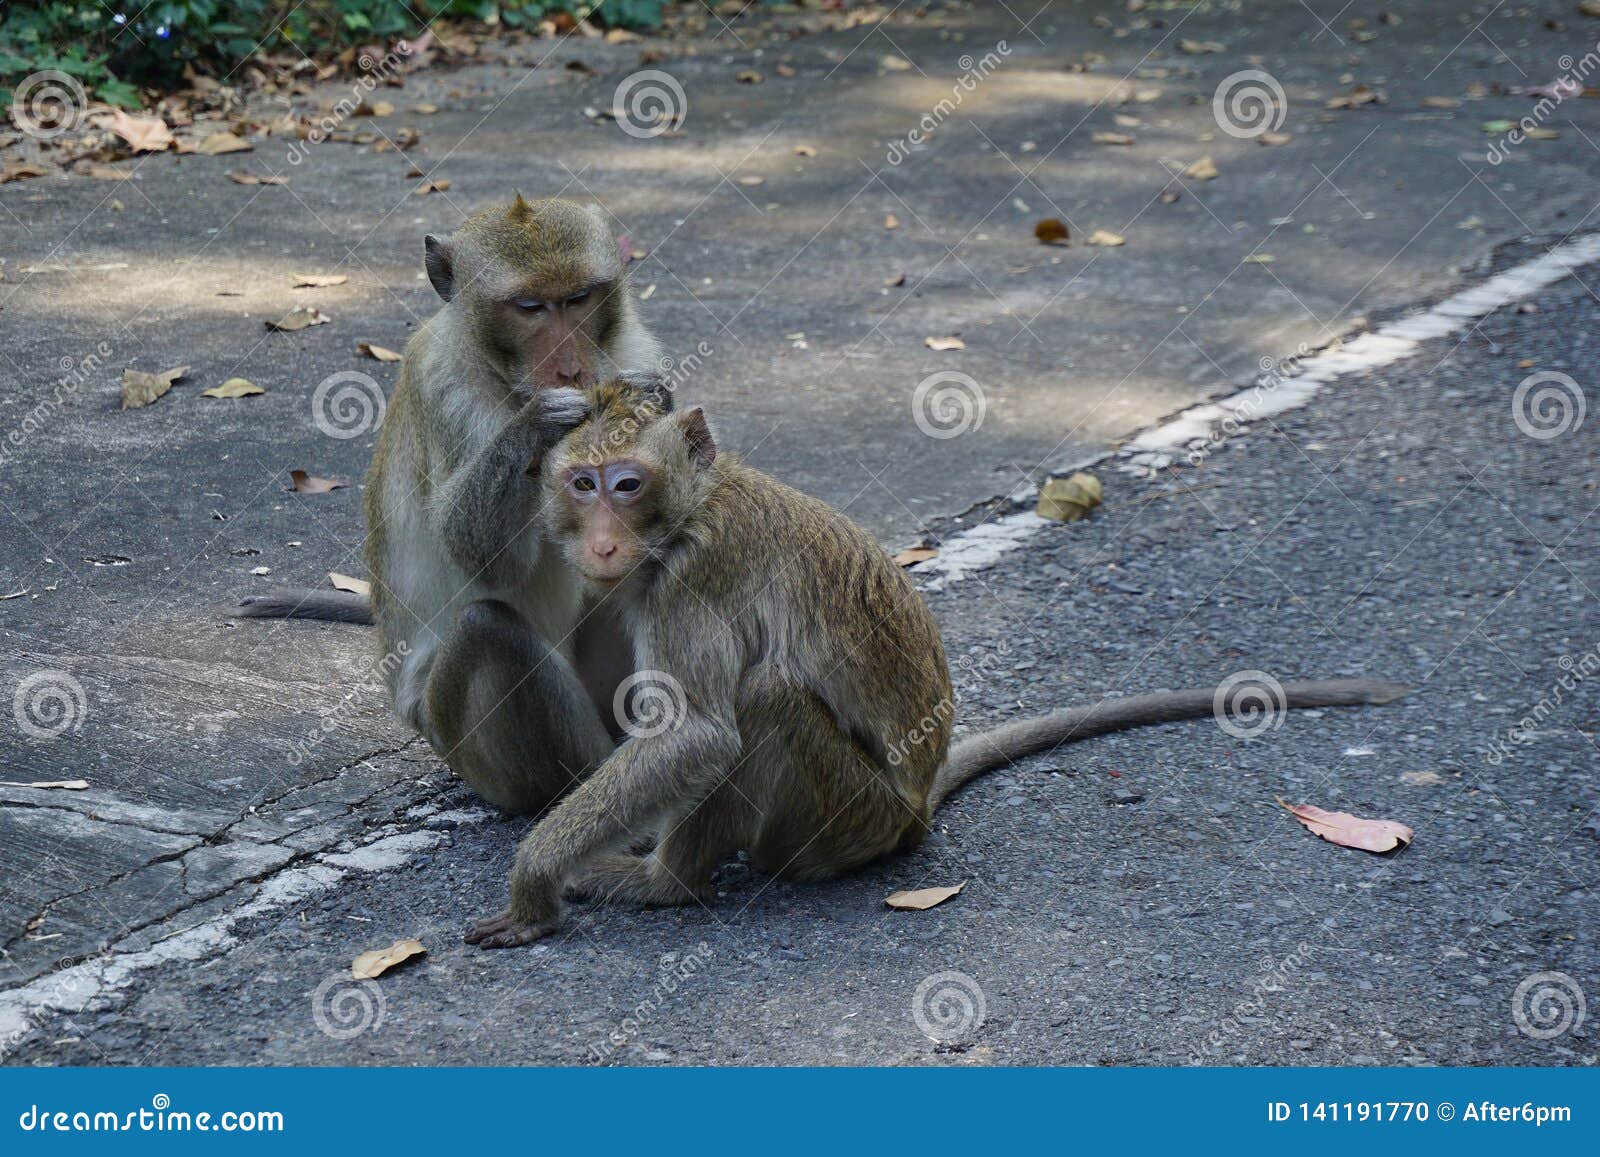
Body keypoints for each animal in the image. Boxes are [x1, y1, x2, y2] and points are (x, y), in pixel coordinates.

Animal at [237, 196, 666, 815]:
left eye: (579, 298)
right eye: (530, 307)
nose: (571, 369)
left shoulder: (633, 349)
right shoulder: (445, 389)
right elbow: (482, 556)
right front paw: (538, 424)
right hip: (458, 742)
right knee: (487, 631)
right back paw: (587, 779)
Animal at [464, 381, 1410, 947]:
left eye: (627, 483)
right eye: (581, 483)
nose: (602, 540)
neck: (691, 508)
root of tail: (917, 807)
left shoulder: (693, 578)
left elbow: (698, 735)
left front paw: (535, 880)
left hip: (851, 818)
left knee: (765, 701)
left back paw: (667, 882)